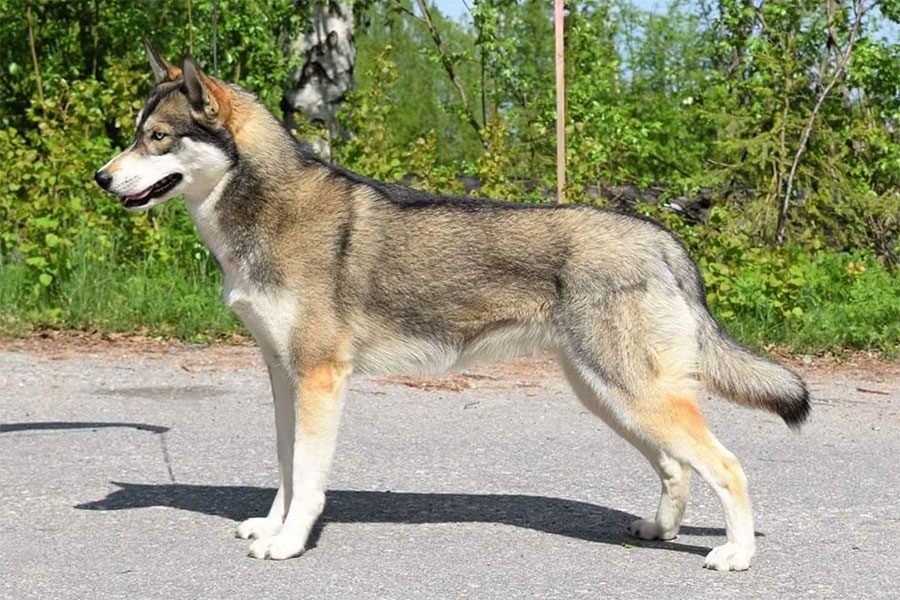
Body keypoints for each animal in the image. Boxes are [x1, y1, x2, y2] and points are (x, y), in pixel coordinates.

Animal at [94, 41, 809, 571]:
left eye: (158, 137)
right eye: (133, 134)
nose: (101, 178)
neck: (259, 216)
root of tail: (662, 237)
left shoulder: (321, 379)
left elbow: (309, 479)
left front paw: (289, 544)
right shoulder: (282, 376)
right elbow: (286, 468)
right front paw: (270, 528)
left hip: (633, 394)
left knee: (726, 466)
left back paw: (735, 555)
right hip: (608, 395)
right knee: (676, 469)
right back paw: (657, 531)